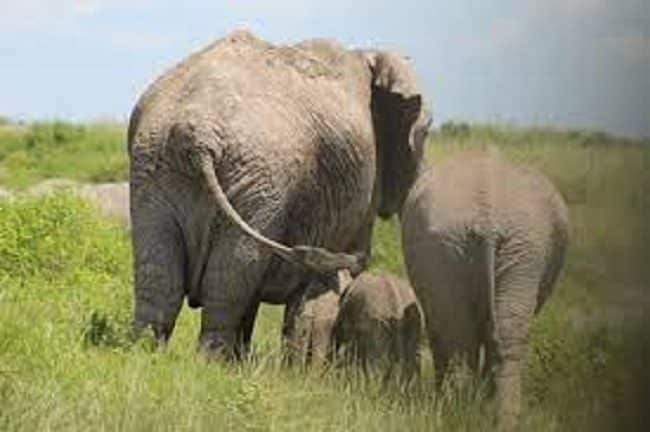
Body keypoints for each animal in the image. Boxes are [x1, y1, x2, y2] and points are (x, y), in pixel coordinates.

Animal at [127, 30, 431, 358]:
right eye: (425, 133)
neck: (366, 54)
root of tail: (199, 135)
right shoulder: (367, 181)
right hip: (262, 178)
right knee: (232, 274)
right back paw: (211, 361)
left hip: (155, 167)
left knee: (160, 273)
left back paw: (147, 353)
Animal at [400, 149, 569, 430]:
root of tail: (488, 214)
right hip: (498, 247)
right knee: (478, 336)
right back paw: (473, 415)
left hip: (518, 246)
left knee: (478, 336)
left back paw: (470, 414)